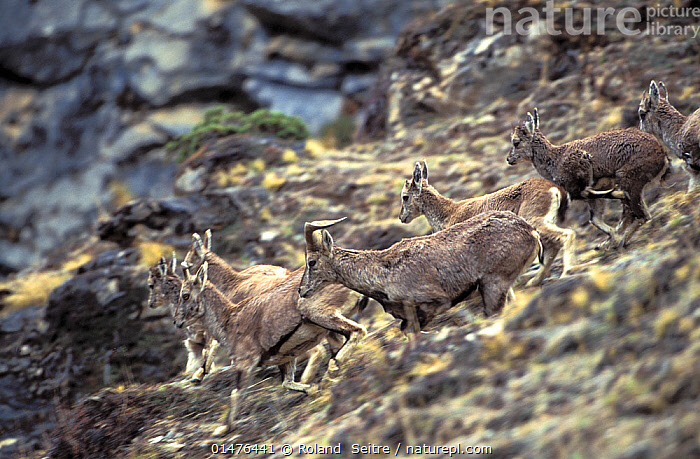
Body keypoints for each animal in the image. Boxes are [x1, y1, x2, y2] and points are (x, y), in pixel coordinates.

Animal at [175, 261, 367, 437]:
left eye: (185, 295)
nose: (177, 322)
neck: (229, 323)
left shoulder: (246, 362)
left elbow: (236, 393)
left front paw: (223, 429)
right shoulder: (286, 357)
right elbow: (287, 383)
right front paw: (312, 389)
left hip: (319, 312)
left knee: (357, 331)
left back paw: (330, 374)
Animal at [299, 212, 542, 334]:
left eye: (311, 262)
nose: (301, 290)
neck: (384, 272)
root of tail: (530, 231)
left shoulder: (434, 302)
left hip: (493, 283)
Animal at [400, 160, 575, 285]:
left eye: (405, 196)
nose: (402, 217)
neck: (448, 213)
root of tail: (555, 190)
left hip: (535, 220)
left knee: (567, 235)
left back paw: (567, 272)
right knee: (553, 247)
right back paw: (535, 281)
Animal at [507, 108, 668, 249]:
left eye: (516, 142)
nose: (509, 159)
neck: (554, 160)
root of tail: (661, 153)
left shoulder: (582, 164)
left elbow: (587, 194)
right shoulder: (595, 193)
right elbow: (595, 218)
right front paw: (609, 239)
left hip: (628, 178)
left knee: (642, 214)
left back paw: (619, 241)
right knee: (634, 213)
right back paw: (608, 243)